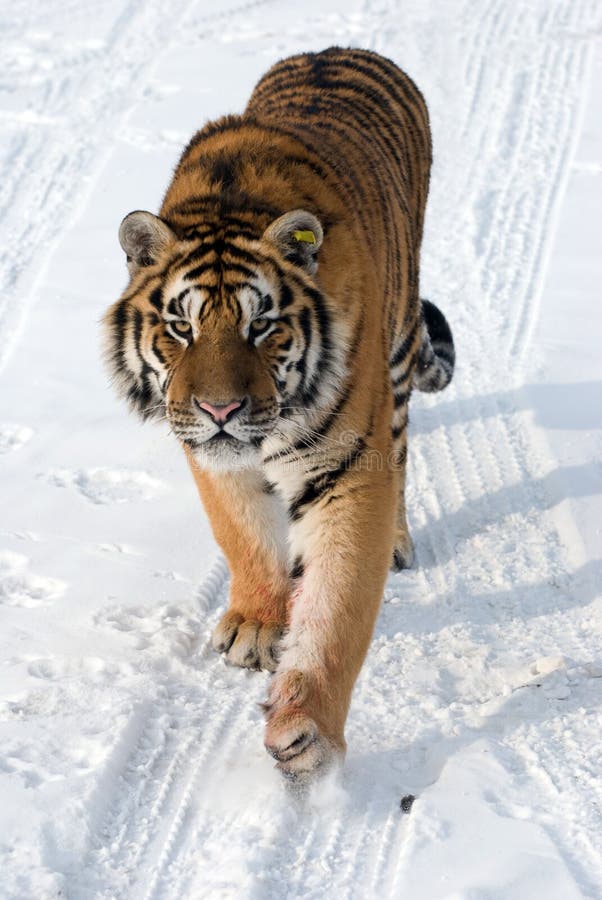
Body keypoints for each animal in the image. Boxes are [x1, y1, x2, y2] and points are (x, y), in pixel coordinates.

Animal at [103, 47, 455, 783]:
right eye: (181, 327)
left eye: (260, 324)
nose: (220, 408)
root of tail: (339, 49)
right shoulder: (212, 457)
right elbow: (243, 535)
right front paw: (258, 624)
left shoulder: (350, 468)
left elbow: (339, 606)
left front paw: (307, 728)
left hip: (398, 353)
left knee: (403, 447)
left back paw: (399, 541)